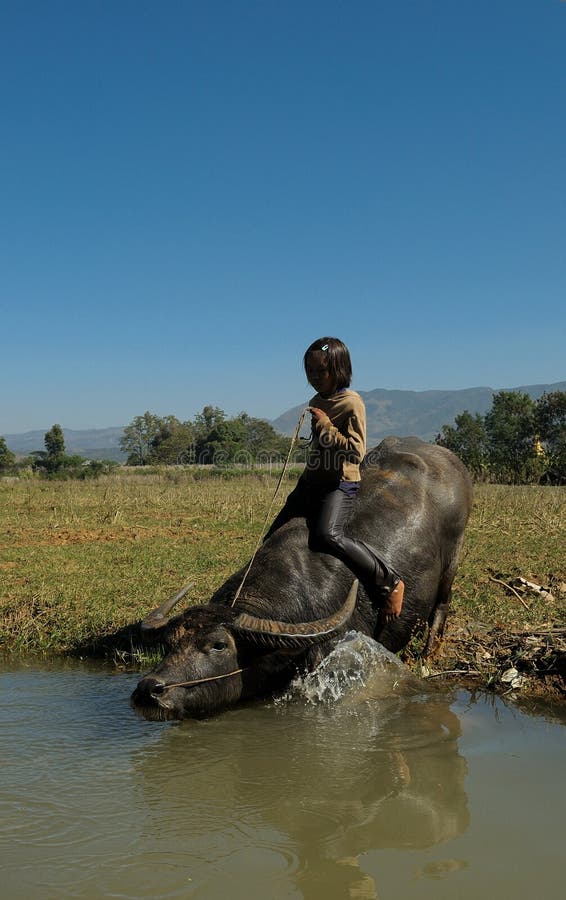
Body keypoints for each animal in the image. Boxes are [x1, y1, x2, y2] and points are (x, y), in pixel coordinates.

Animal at [131, 437, 473, 721]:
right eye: (169, 643)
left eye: (218, 645)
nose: (149, 689)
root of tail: (450, 459)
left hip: (453, 559)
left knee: (442, 606)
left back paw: (427, 656)